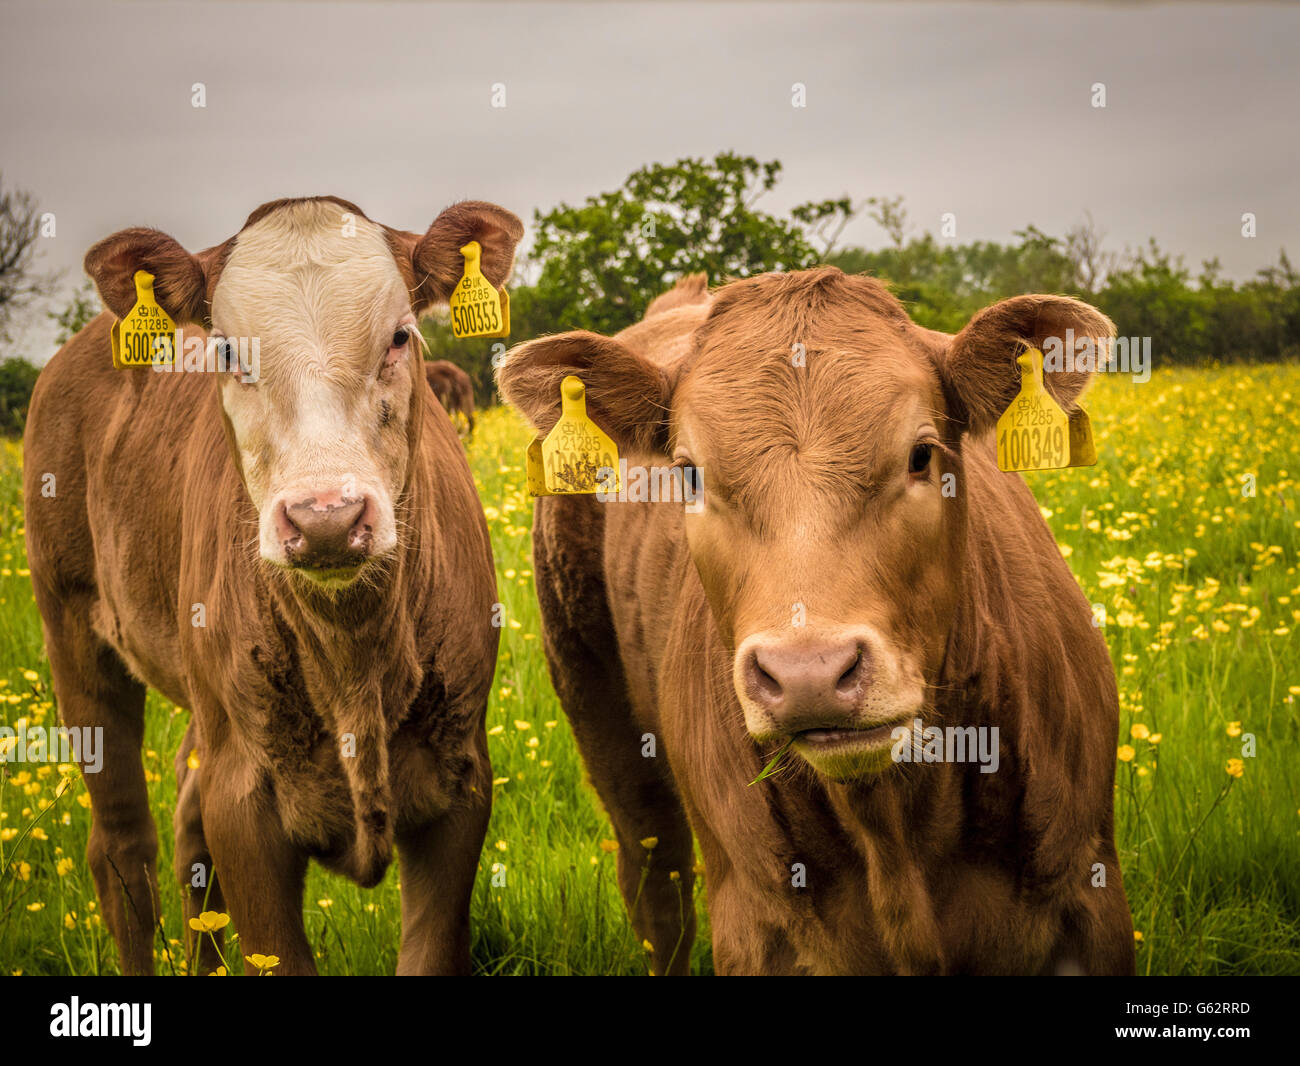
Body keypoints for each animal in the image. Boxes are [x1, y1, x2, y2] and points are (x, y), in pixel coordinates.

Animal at [23, 196, 523, 975]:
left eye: (400, 336)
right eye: (227, 352)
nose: (327, 518)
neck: (355, 658)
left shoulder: (461, 780)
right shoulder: (244, 803)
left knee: (185, 821)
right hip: (71, 626)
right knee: (123, 848)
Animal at [497, 267, 1136, 976]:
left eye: (921, 454)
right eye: (689, 474)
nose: (809, 674)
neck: (893, 833)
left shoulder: (1087, 893)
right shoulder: (755, 923)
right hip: (599, 713)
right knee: (656, 885)